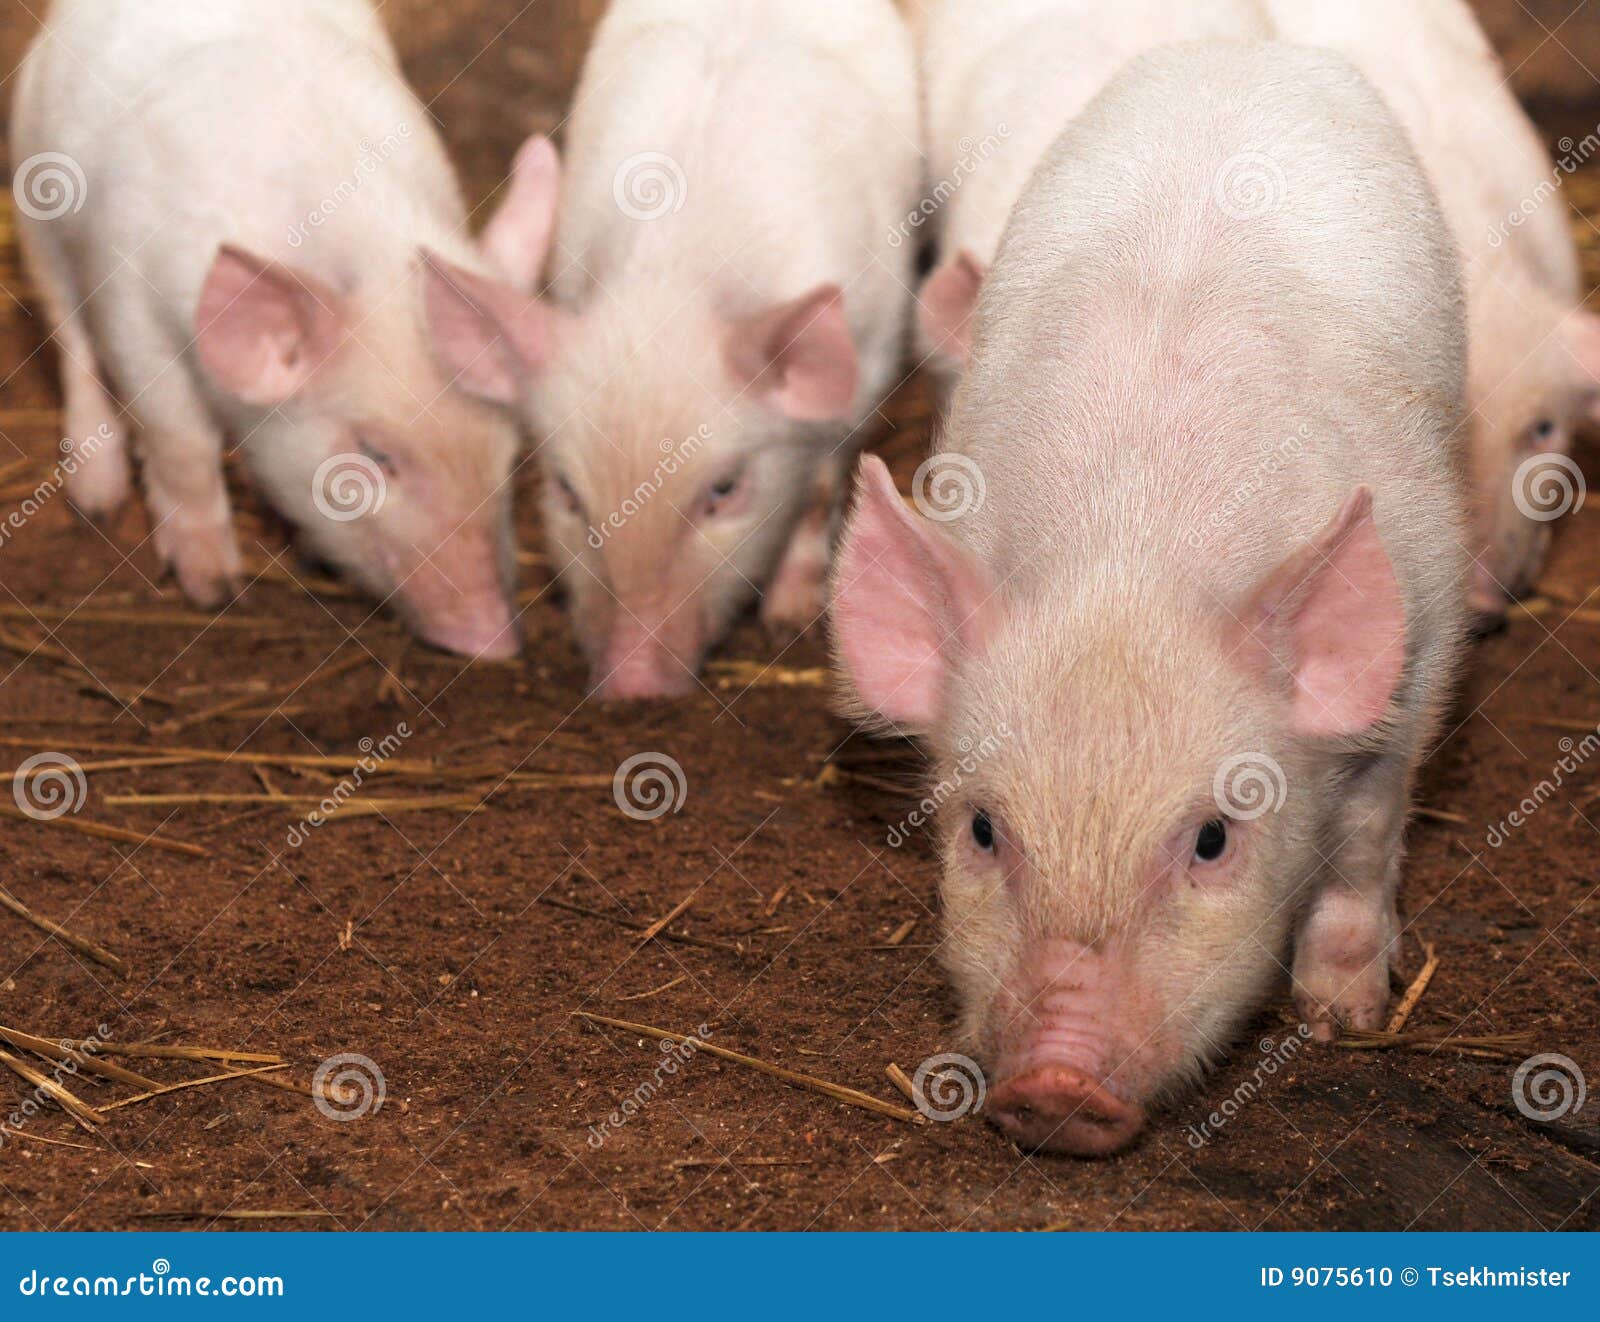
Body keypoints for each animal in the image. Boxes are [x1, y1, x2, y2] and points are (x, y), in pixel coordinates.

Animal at [11, 0, 528, 658]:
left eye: (511, 456)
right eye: (375, 454)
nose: (499, 642)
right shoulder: (132, 306)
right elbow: (181, 442)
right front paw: (214, 590)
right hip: (35, 206)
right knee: (69, 336)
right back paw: (96, 499)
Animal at [429, 0, 921, 698]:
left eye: (724, 489)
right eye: (568, 492)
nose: (631, 687)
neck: (677, 283)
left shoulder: (871, 361)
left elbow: (822, 486)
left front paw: (790, 619)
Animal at [830, 42, 1470, 1154]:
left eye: (1213, 837)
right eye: (983, 830)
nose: (1055, 1085)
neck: (1131, 556)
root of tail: (1245, 50)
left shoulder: (1423, 633)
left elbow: (1366, 829)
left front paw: (1343, 1018)